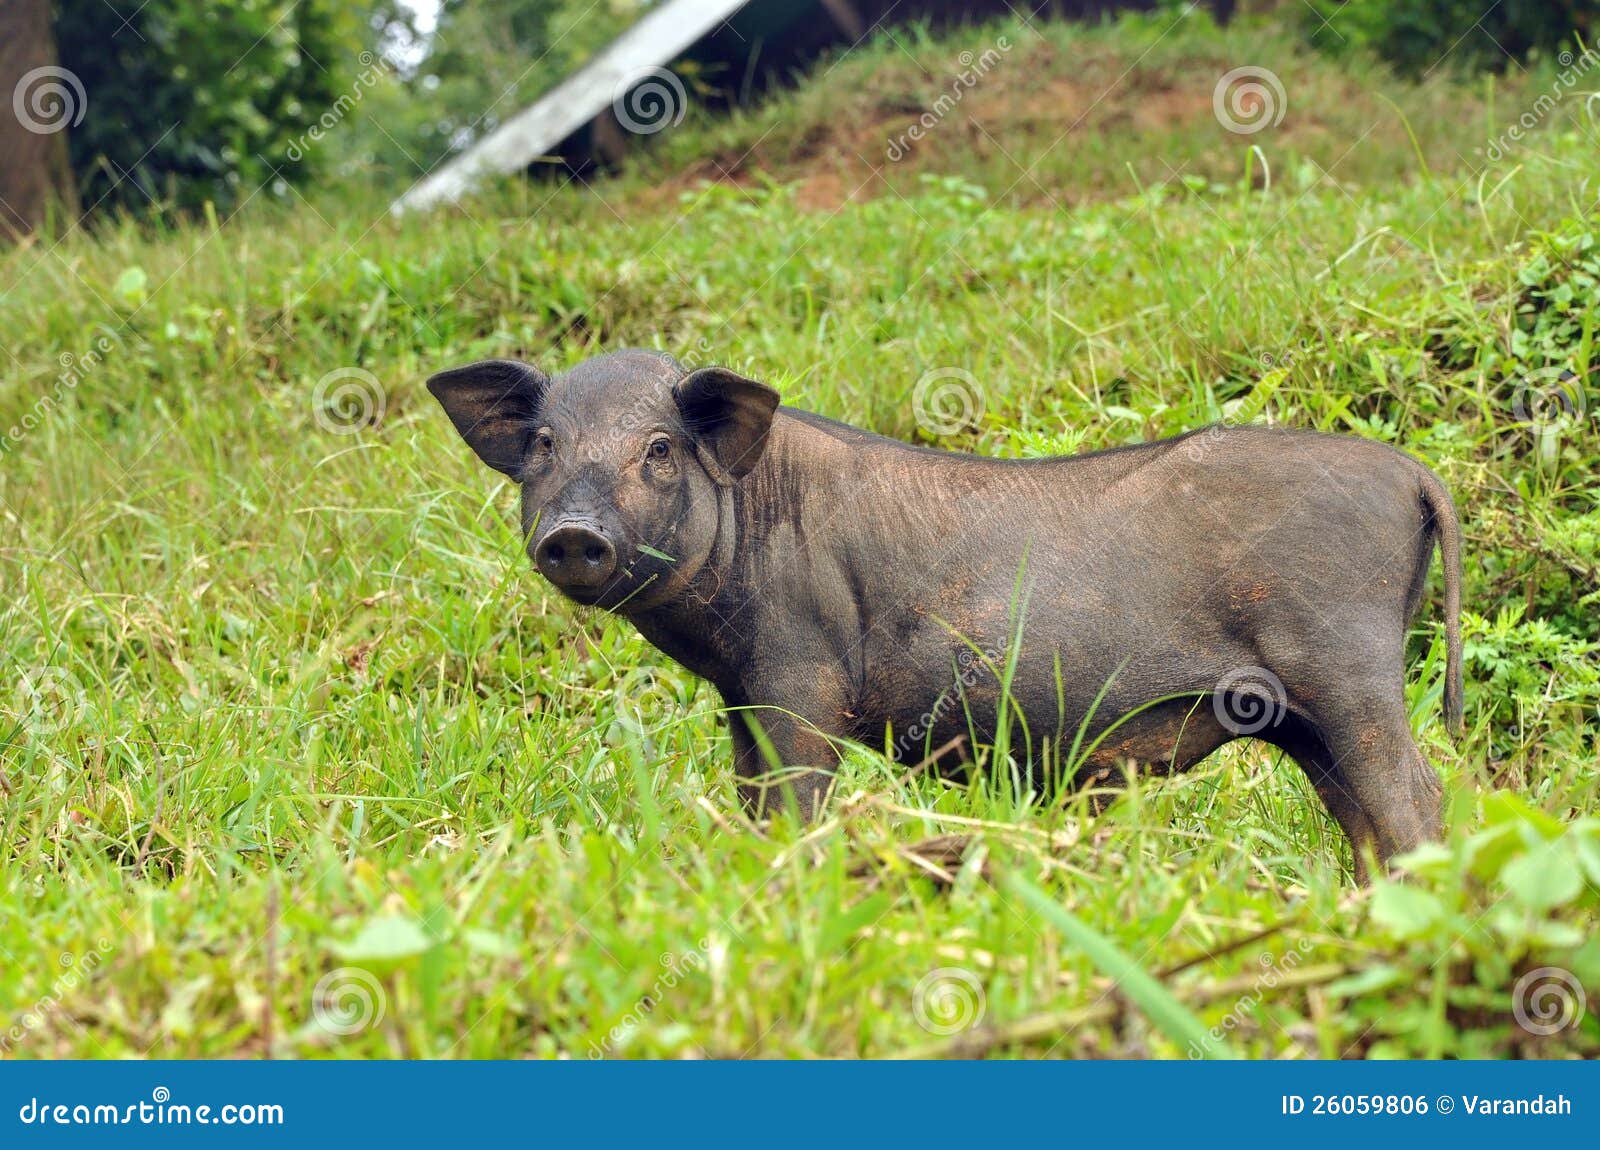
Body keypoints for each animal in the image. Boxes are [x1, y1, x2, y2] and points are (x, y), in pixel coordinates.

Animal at [428, 349, 1462, 878]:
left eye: (657, 449)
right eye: (545, 444)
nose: (573, 533)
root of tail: (1409, 472)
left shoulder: (802, 675)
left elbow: (801, 797)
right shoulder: (741, 694)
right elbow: (754, 798)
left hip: (1348, 670)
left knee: (1414, 795)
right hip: (1300, 716)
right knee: (1365, 818)